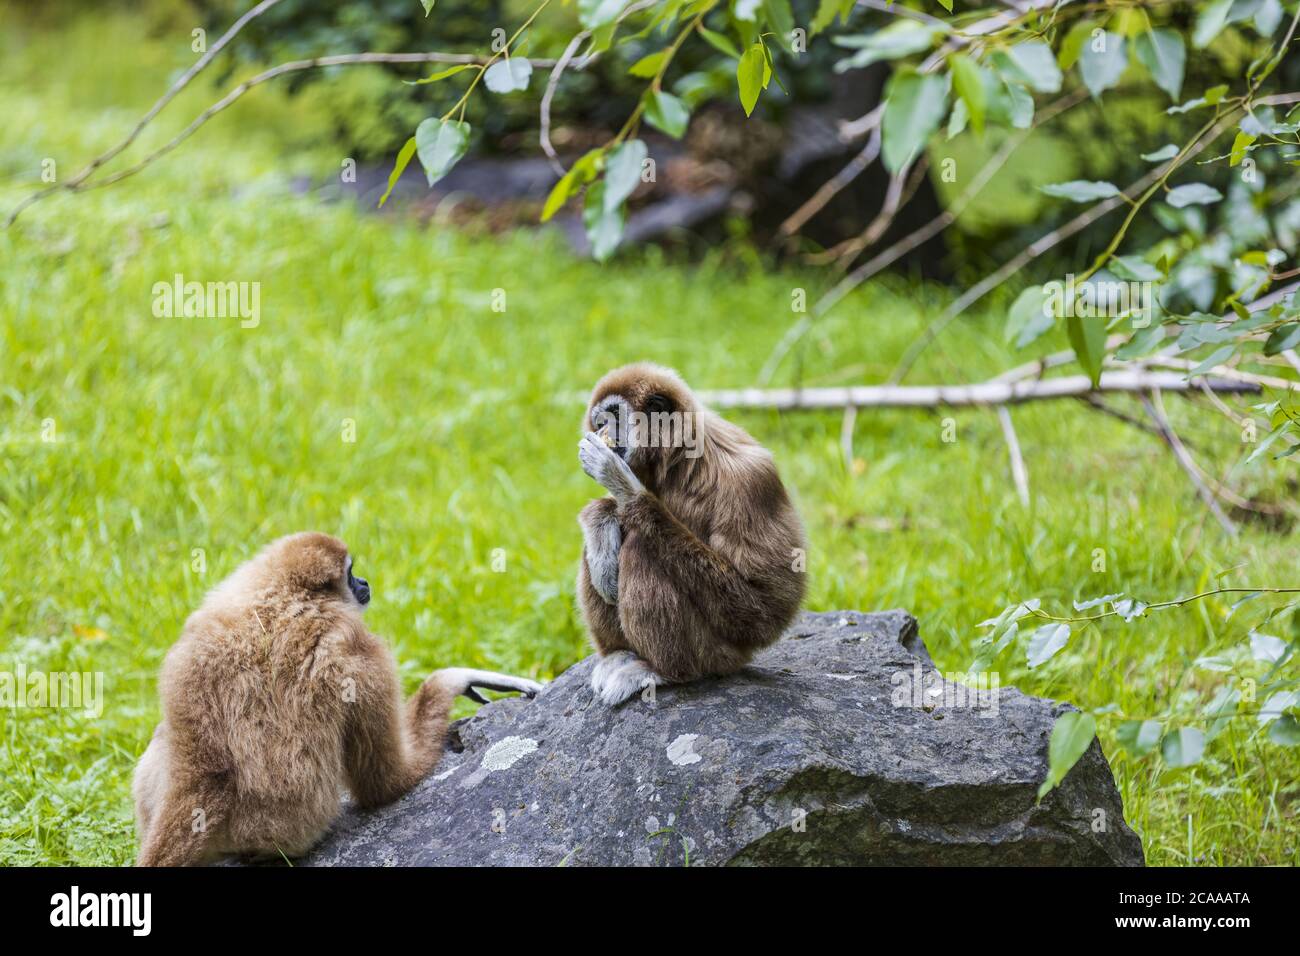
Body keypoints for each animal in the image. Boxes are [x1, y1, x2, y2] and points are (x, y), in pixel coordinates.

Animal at [132, 532, 541, 866]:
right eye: (351, 572)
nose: (364, 582)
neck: (281, 597)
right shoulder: (361, 648)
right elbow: (385, 785)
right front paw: (451, 679)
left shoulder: (195, 642)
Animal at [575, 362, 807, 706]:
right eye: (600, 420)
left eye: (614, 413)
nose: (604, 425)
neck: (680, 460)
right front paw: (601, 519)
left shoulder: (749, 478)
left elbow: (763, 607)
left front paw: (622, 484)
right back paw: (619, 653)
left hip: (715, 654)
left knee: (641, 547)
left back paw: (661, 671)